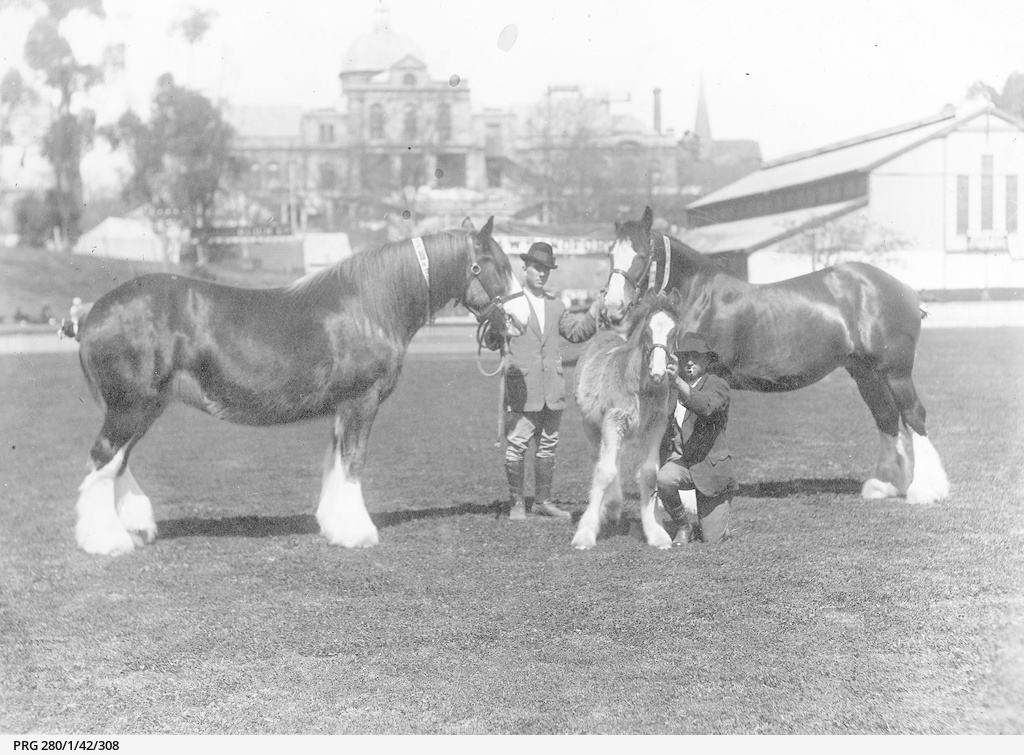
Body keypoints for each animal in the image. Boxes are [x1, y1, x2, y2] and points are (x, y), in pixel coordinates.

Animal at [70, 217, 526, 556]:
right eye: (495, 264)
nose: (522, 320)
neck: (371, 306)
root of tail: (91, 314)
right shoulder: (362, 401)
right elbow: (353, 462)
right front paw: (359, 532)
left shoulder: (343, 407)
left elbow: (336, 462)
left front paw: (335, 525)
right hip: (131, 406)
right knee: (103, 459)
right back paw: (106, 541)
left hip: (146, 406)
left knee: (118, 462)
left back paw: (134, 528)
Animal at [572, 291, 681, 550]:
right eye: (646, 332)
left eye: (674, 332)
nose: (658, 373)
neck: (642, 390)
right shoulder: (613, 422)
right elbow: (605, 472)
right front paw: (585, 533)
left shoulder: (656, 426)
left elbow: (650, 473)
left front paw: (656, 532)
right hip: (592, 426)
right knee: (600, 459)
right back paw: (609, 506)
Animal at [601, 206, 949, 505]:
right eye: (610, 253)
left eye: (641, 255)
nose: (612, 308)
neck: (700, 298)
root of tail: (905, 289)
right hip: (866, 372)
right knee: (886, 417)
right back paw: (884, 485)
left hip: (896, 372)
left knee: (913, 415)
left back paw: (924, 489)